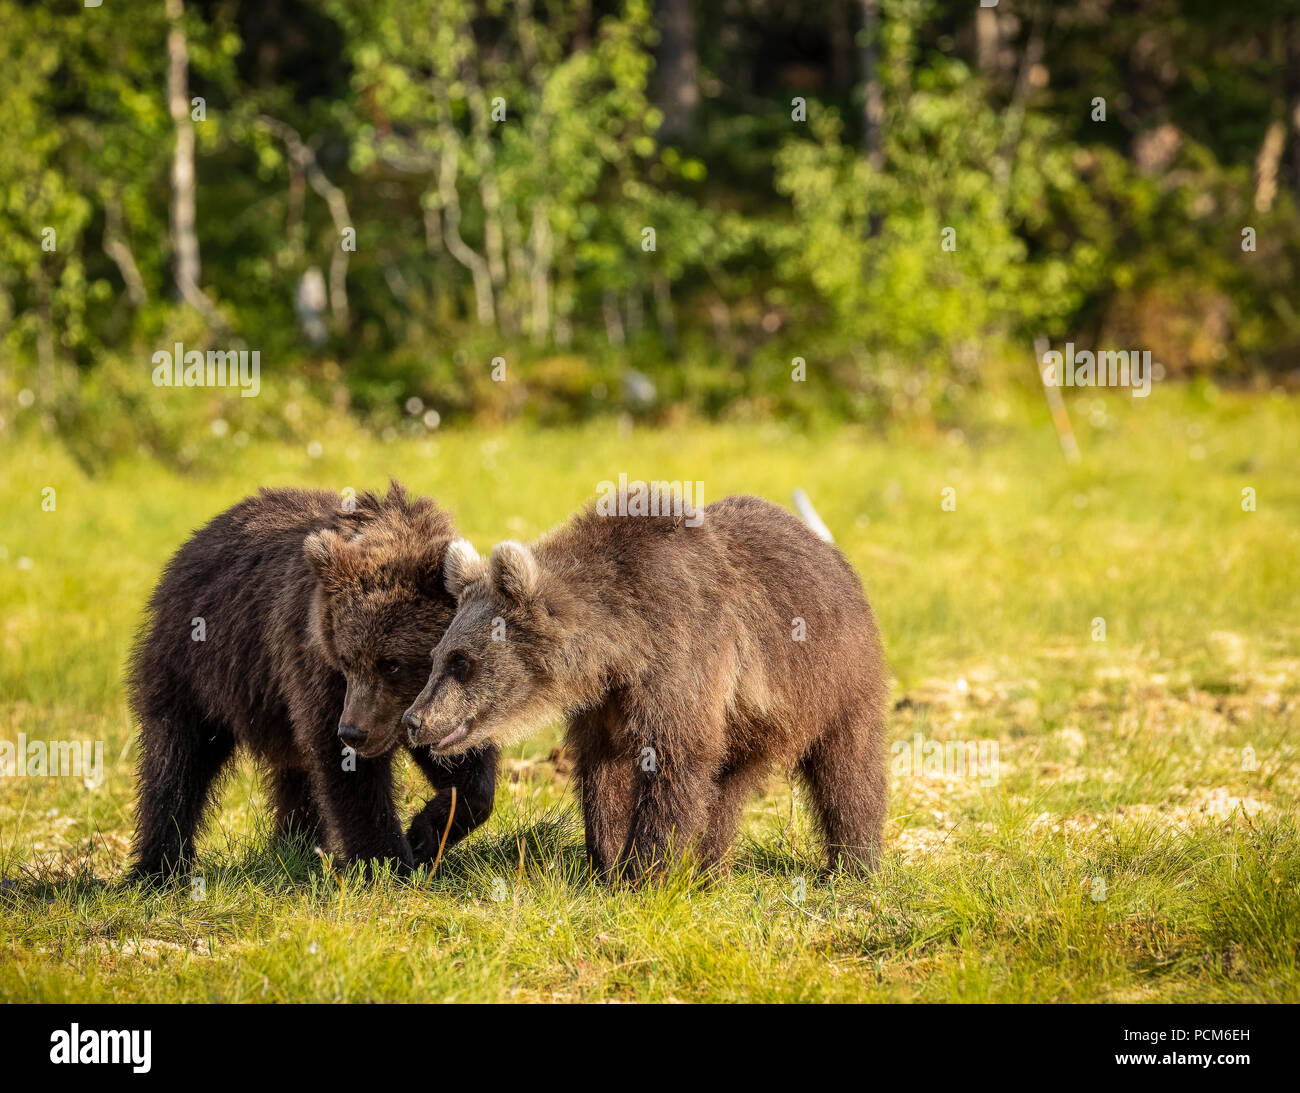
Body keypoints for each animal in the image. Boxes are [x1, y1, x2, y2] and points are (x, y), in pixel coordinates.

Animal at [127, 481, 498, 880]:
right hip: (199, 668)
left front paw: (425, 834)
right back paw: (159, 867)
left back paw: (298, 847)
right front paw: (388, 862)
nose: (353, 732)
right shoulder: (318, 667)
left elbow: (467, 764)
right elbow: (347, 772)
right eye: (348, 660)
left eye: (392, 664)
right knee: (179, 761)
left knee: (296, 773)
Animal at [400, 493, 888, 881]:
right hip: (751, 721)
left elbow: (676, 763)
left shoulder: (684, 661)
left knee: (848, 768)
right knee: (730, 784)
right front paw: (607, 861)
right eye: (436, 655)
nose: (413, 719)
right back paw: (709, 867)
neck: (621, 644)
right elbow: (603, 772)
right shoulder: (605, 702)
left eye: (462, 661)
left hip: (835, 677)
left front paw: (642, 872)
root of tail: (828, 549)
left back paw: (852, 865)